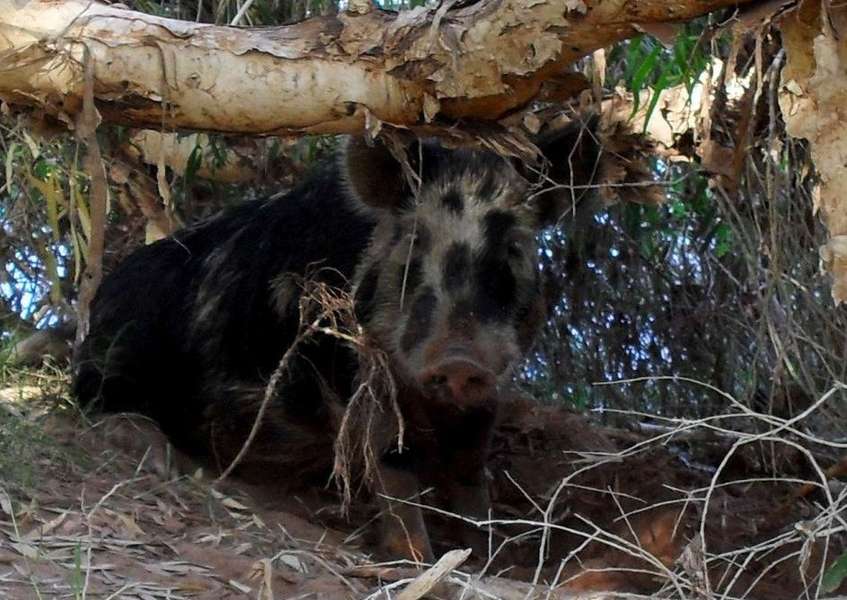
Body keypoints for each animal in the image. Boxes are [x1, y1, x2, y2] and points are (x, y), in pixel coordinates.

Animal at [73, 115, 605, 561]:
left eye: (516, 246)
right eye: (414, 240)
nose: (459, 359)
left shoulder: (489, 394)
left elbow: (470, 473)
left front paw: (489, 556)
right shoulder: (353, 373)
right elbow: (393, 464)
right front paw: (415, 559)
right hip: (115, 360)